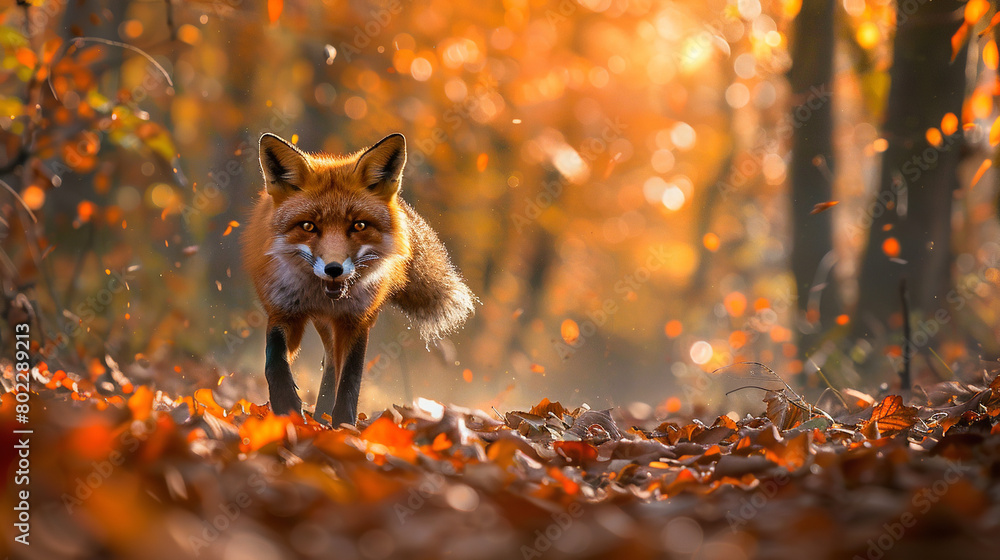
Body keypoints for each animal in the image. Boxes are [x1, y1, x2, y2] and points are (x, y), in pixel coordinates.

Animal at [241, 132, 476, 426]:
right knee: (329, 359)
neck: (321, 297)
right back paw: (320, 416)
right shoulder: (284, 311)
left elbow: (350, 379)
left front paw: (344, 425)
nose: (333, 269)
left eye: (359, 225)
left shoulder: (356, 319)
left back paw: (323, 417)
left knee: (333, 364)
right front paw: (286, 406)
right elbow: (274, 360)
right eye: (308, 226)